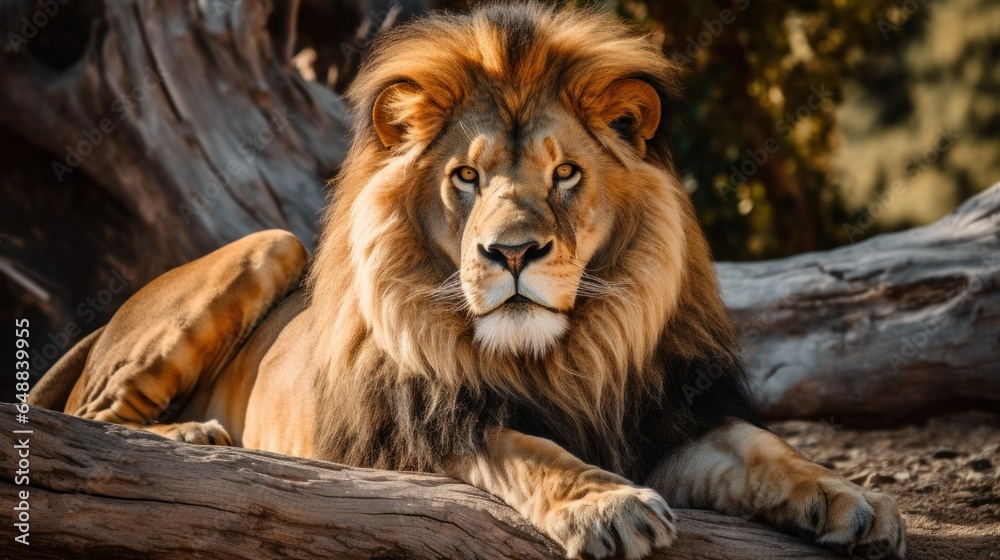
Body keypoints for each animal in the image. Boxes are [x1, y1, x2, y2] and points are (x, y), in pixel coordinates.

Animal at [30, 3, 905, 559]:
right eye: (466, 178)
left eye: (564, 173)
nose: (511, 253)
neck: (567, 355)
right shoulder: (421, 428)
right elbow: (528, 448)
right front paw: (607, 504)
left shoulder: (667, 415)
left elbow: (767, 449)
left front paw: (854, 500)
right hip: (267, 247)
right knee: (98, 419)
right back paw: (193, 438)